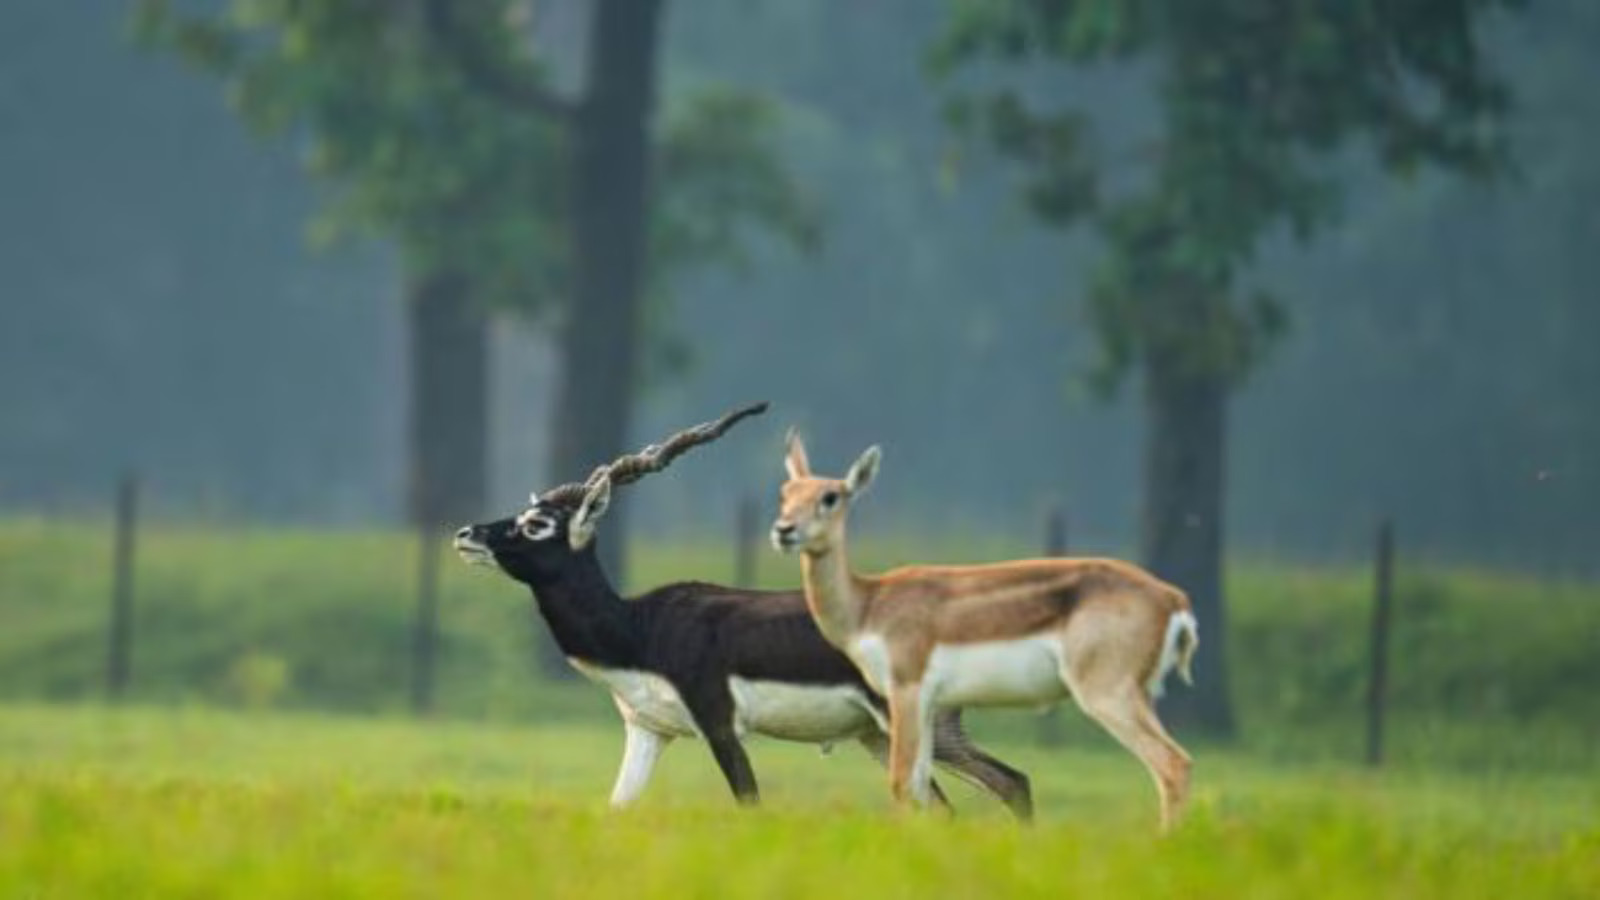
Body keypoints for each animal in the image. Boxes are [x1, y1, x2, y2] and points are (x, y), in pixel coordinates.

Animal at [453, 404, 1033, 819]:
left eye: (536, 525)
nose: (466, 534)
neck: (638, 630)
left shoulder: (719, 723)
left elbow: (750, 802)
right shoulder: (647, 730)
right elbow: (616, 808)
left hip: (908, 725)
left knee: (996, 787)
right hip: (885, 735)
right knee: (974, 797)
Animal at [771, 432, 1199, 830]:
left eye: (831, 496)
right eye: (785, 493)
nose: (784, 530)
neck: (869, 604)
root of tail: (1171, 598)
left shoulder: (906, 690)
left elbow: (900, 783)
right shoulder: (926, 704)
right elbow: (919, 786)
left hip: (1107, 693)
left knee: (1173, 764)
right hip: (1140, 693)